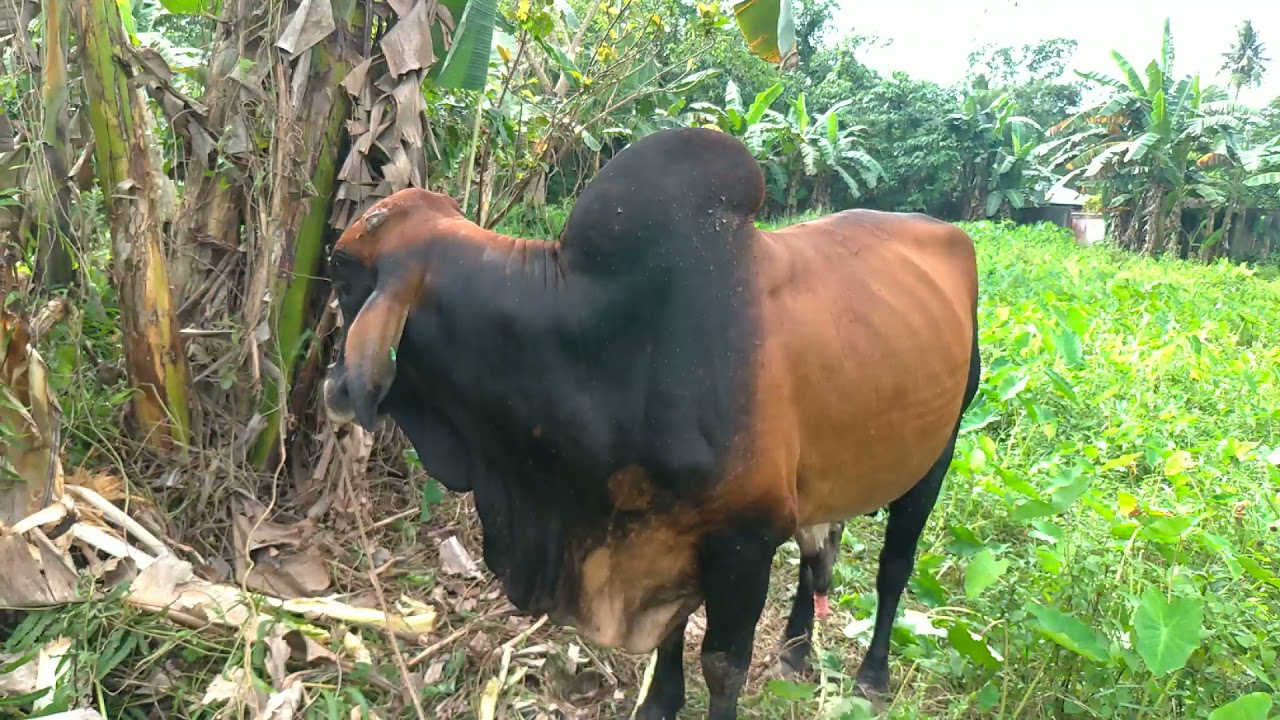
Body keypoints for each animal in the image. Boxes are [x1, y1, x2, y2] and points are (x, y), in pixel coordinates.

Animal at [323, 126, 981, 720]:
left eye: (342, 274)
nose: (332, 386)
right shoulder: (664, 535)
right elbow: (671, 632)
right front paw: (661, 702)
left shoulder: (744, 540)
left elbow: (723, 665)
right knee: (820, 550)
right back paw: (796, 650)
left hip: (938, 454)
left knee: (894, 568)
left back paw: (873, 673)